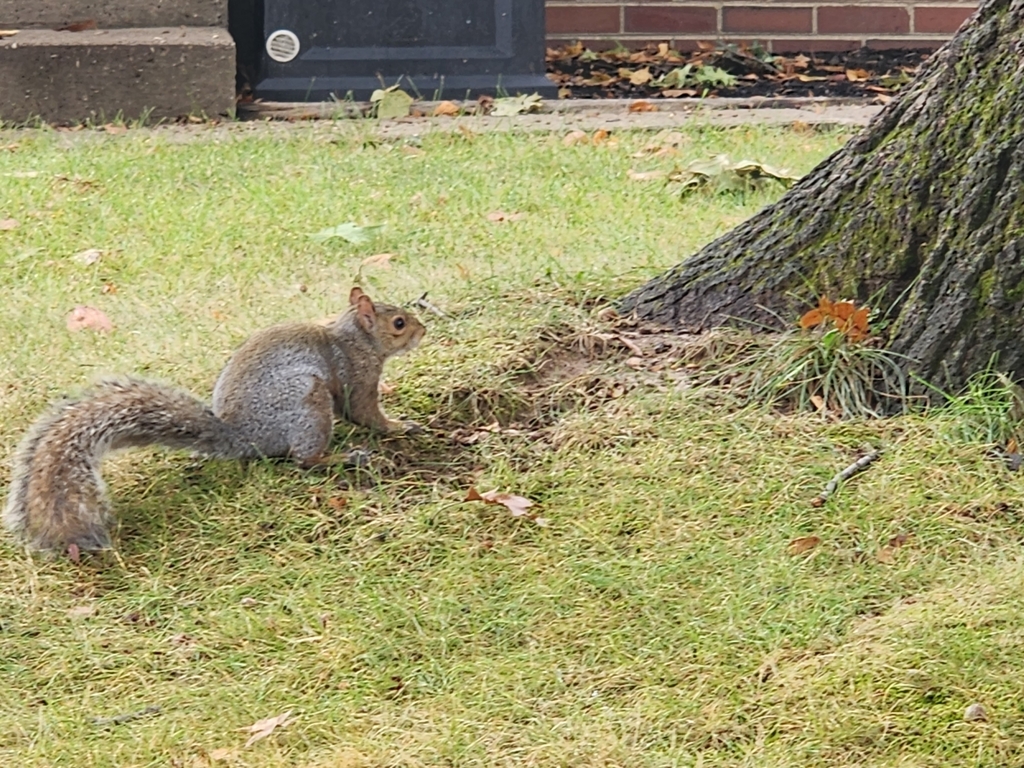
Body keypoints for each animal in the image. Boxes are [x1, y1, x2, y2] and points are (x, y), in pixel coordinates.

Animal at [3, 287, 426, 558]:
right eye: (399, 323)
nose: (423, 330)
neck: (354, 338)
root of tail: (242, 437)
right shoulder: (355, 374)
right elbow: (364, 412)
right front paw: (400, 425)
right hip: (309, 401)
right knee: (303, 460)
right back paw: (343, 458)